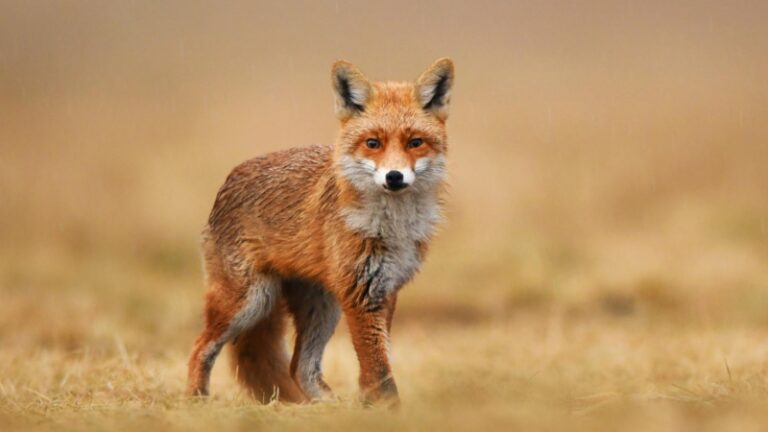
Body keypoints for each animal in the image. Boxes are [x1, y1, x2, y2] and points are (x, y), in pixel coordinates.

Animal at [186, 58, 454, 406]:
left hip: (321, 307)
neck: (393, 227)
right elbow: (379, 369)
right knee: (199, 347)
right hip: (248, 301)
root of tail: (230, 178)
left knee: (299, 365)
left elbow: (377, 363)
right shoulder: (361, 294)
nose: (394, 177)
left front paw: (369, 406)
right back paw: (195, 400)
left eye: (415, 142)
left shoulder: (386, 288)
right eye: (373, 143)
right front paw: (389, 409)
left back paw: (329, 407)